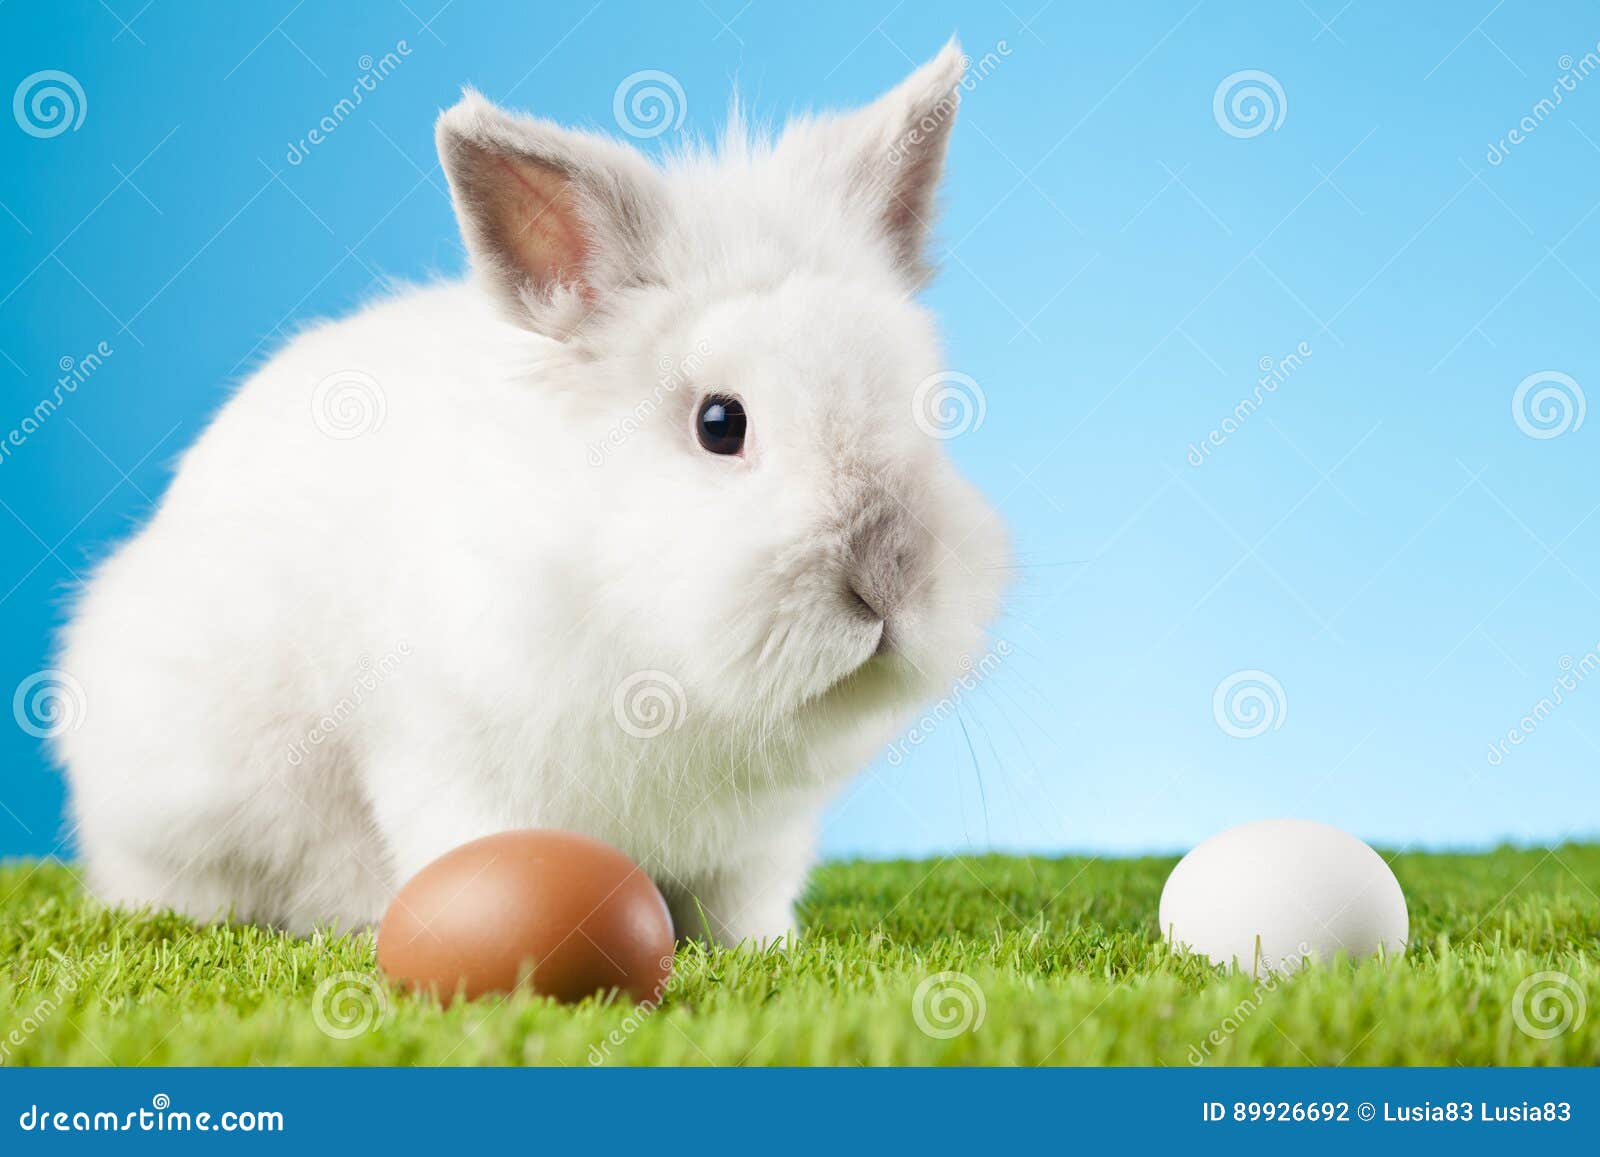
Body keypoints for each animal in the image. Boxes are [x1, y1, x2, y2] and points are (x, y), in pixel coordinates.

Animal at [53, 42, 1008, 945]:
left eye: (923, 406)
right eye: (720, 422)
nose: (888, 576)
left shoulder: (756, 844)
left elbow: (745, 908)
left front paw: (765, 950)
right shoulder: (452, 760)